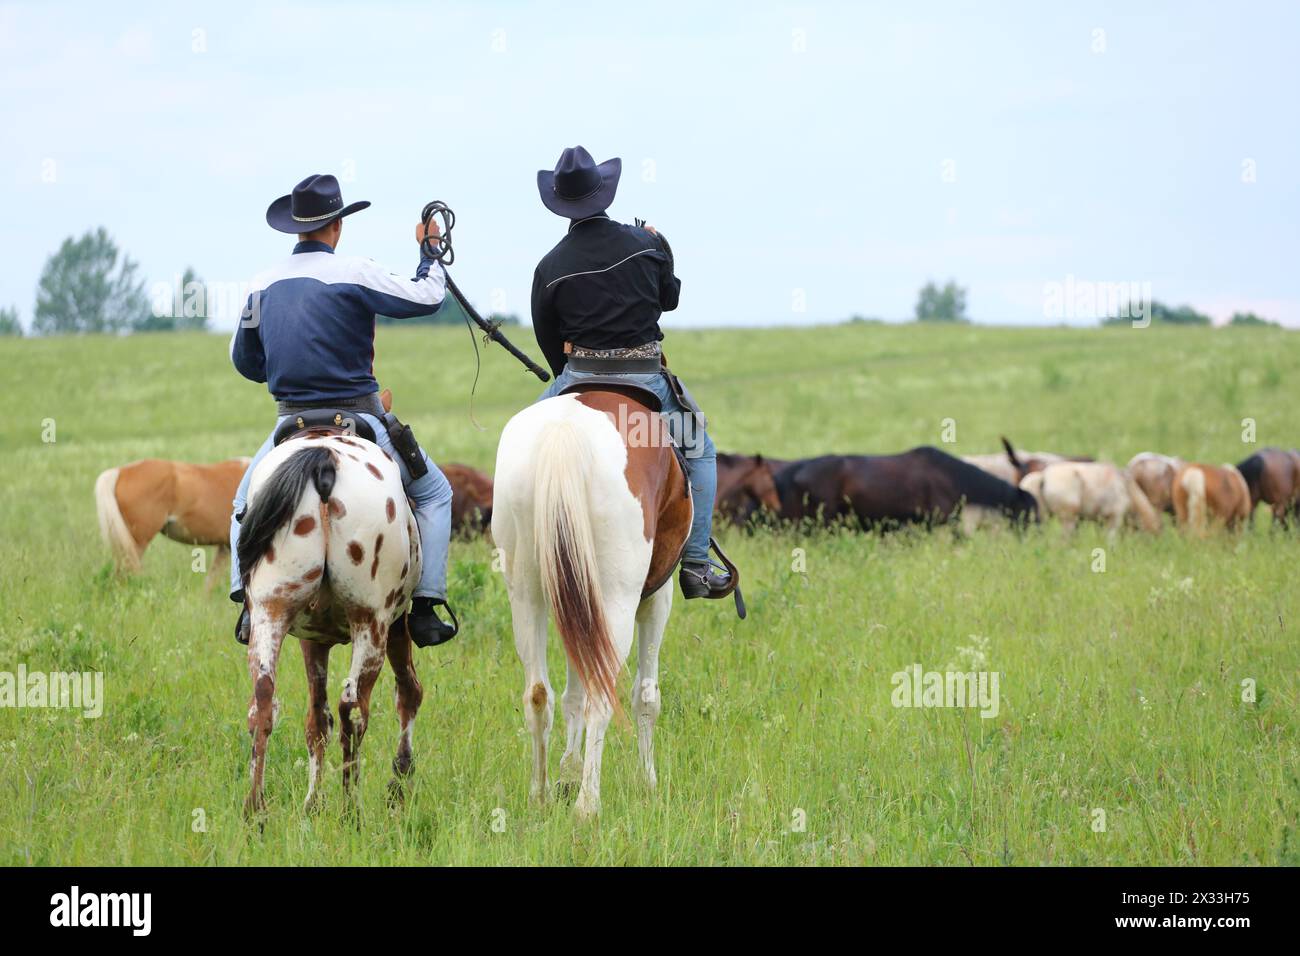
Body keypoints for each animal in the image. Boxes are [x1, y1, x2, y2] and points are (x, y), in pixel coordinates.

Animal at [235, 427, 424, 817]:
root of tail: (324, 459)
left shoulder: (312, 639)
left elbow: (316, 720)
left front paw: (313, 802)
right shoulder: (395, 622)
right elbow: (407, 693)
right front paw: (398, 781)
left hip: (269, 612)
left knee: (263, 701)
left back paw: (255, 810)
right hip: (371, 624)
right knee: (354, 709)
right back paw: (351, 810)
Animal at [492, 385, 695, 817]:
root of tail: (564, 430)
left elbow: (574, 693)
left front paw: (566, 774)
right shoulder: (656, 599)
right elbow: (645, 696)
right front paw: (647, 783)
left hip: (528, 595)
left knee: (539, 693)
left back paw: (541, 795)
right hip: (617, 599)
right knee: (602, 695)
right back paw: (588, 805)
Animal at [1018, 461, 1162, 537]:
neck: (1127, 488)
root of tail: (1043, 477)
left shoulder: (1101, 520)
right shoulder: (1114, 516)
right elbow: (1110, 538)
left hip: (1042, 517)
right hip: (1068, 518)